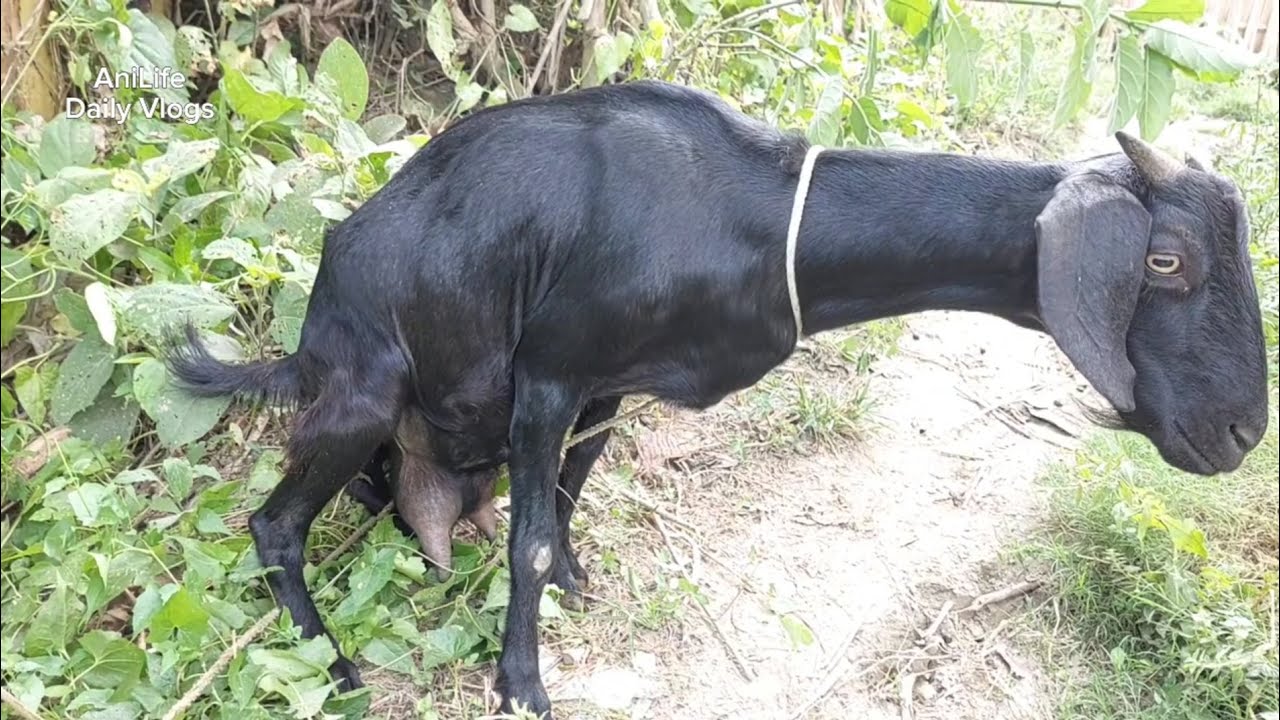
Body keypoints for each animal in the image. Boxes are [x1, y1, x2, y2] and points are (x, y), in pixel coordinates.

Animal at [169, 80, 1268, 718]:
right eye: (1163, 260)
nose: (1241, 430)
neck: (755, 218)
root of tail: (306, 339)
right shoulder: (552, 370)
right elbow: (529, 541)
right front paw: (523, 685)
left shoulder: (606, 389)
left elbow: (564, 500)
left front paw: (576, 586)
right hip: (360, 394)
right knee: (272, 525)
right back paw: (335, 671)